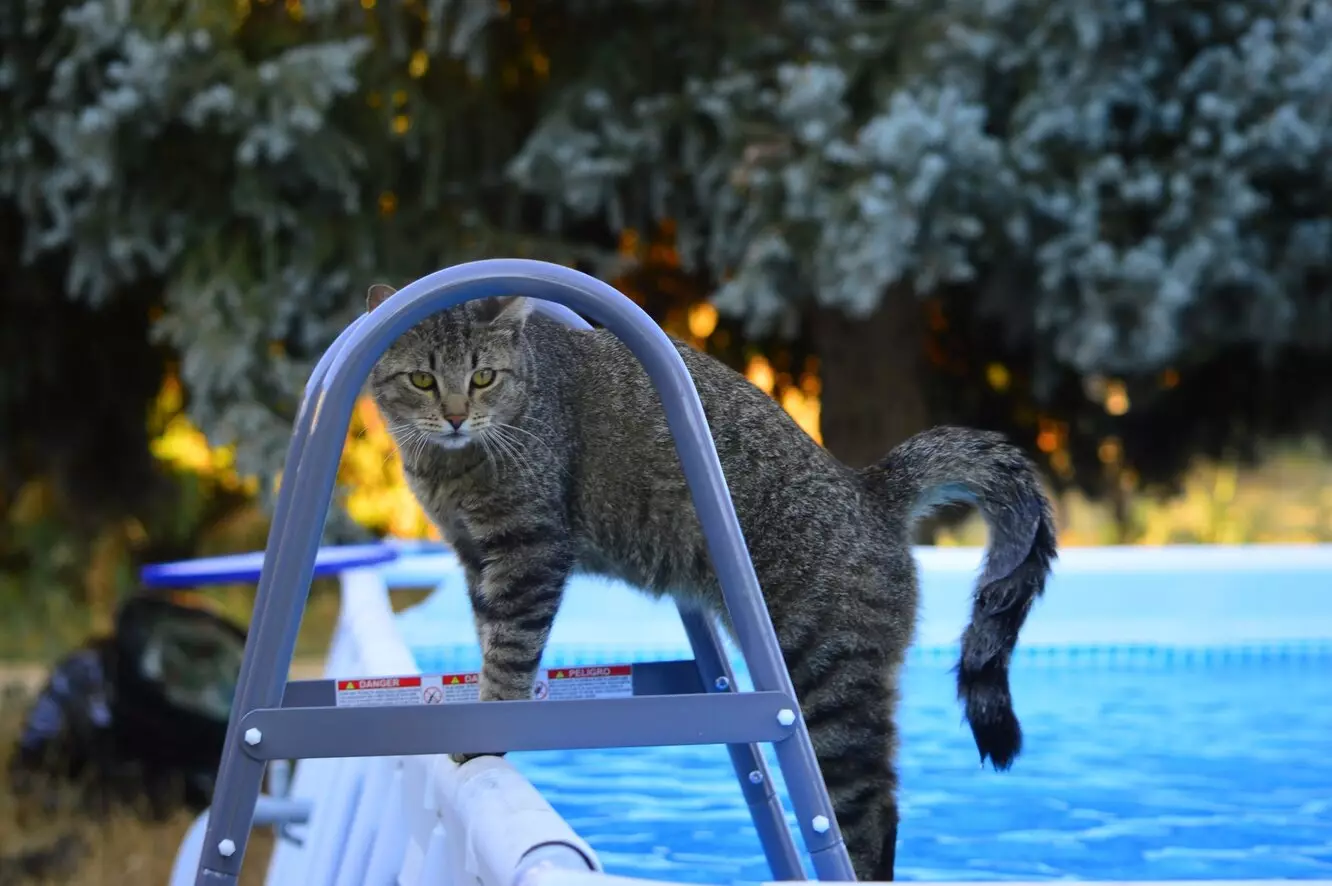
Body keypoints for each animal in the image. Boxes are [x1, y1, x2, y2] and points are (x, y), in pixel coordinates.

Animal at [362, 285, 1049, 879]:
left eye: (483, 378)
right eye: (423, 380)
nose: (455, 416)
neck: (451, 464)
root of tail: (868, 491)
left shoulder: (528, 548)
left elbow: (509, 650)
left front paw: (489, 731)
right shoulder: (476, 557)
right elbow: (488, 637)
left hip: (830, 687)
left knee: (872, 814)